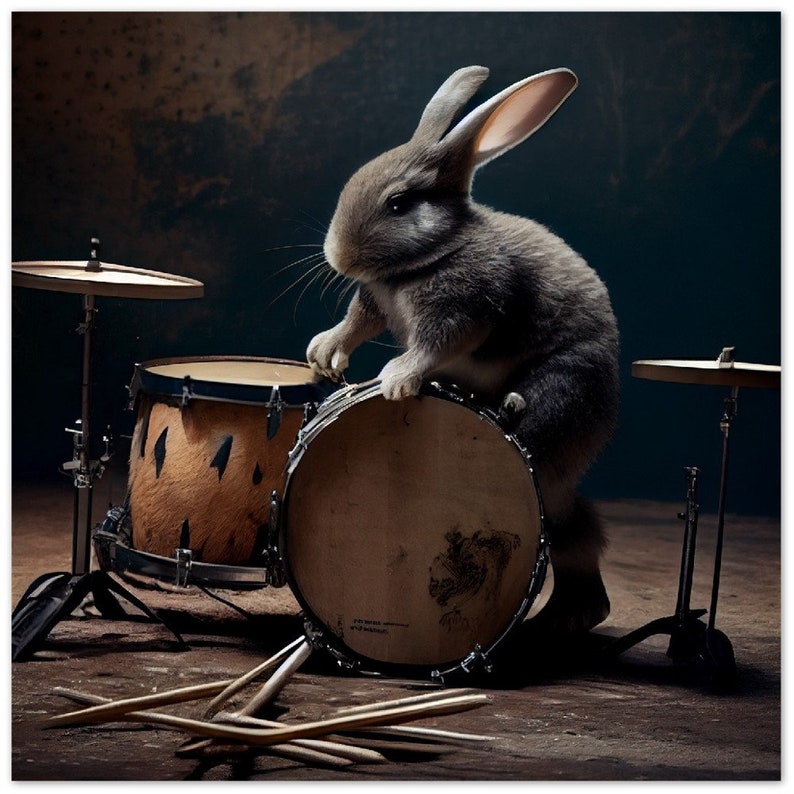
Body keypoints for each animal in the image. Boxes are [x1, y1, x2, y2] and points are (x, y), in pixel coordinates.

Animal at [306, 65, 620, 634]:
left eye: (399, 204)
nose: (337, 255)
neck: (432, 252)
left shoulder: (461, 310)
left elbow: (434, 345)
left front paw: (396, 378)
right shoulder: (376, 302)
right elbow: (356, 322)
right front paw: (325, 351)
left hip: (563, 395)